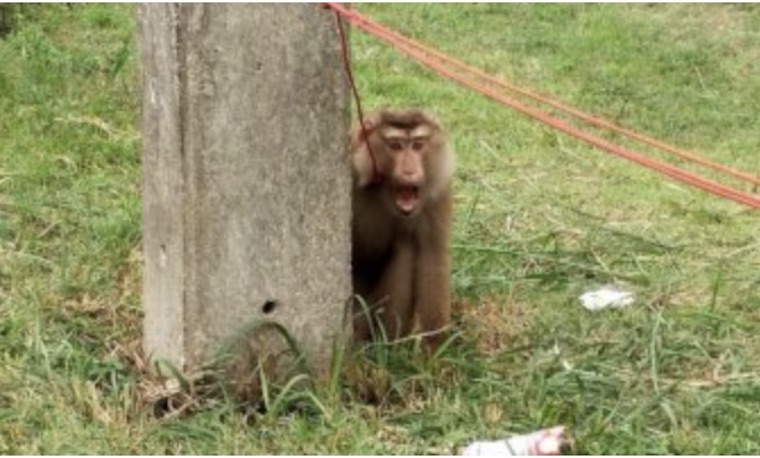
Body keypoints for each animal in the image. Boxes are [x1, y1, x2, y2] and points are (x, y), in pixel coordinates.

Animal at [349, 109, 454, 351]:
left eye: (417, 145)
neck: (382, 193)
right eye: (396, 146)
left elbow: (432, 258)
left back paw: (388, 346)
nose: (410, 170)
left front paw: (435, 349)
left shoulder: (436, 193)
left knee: (407, 245)